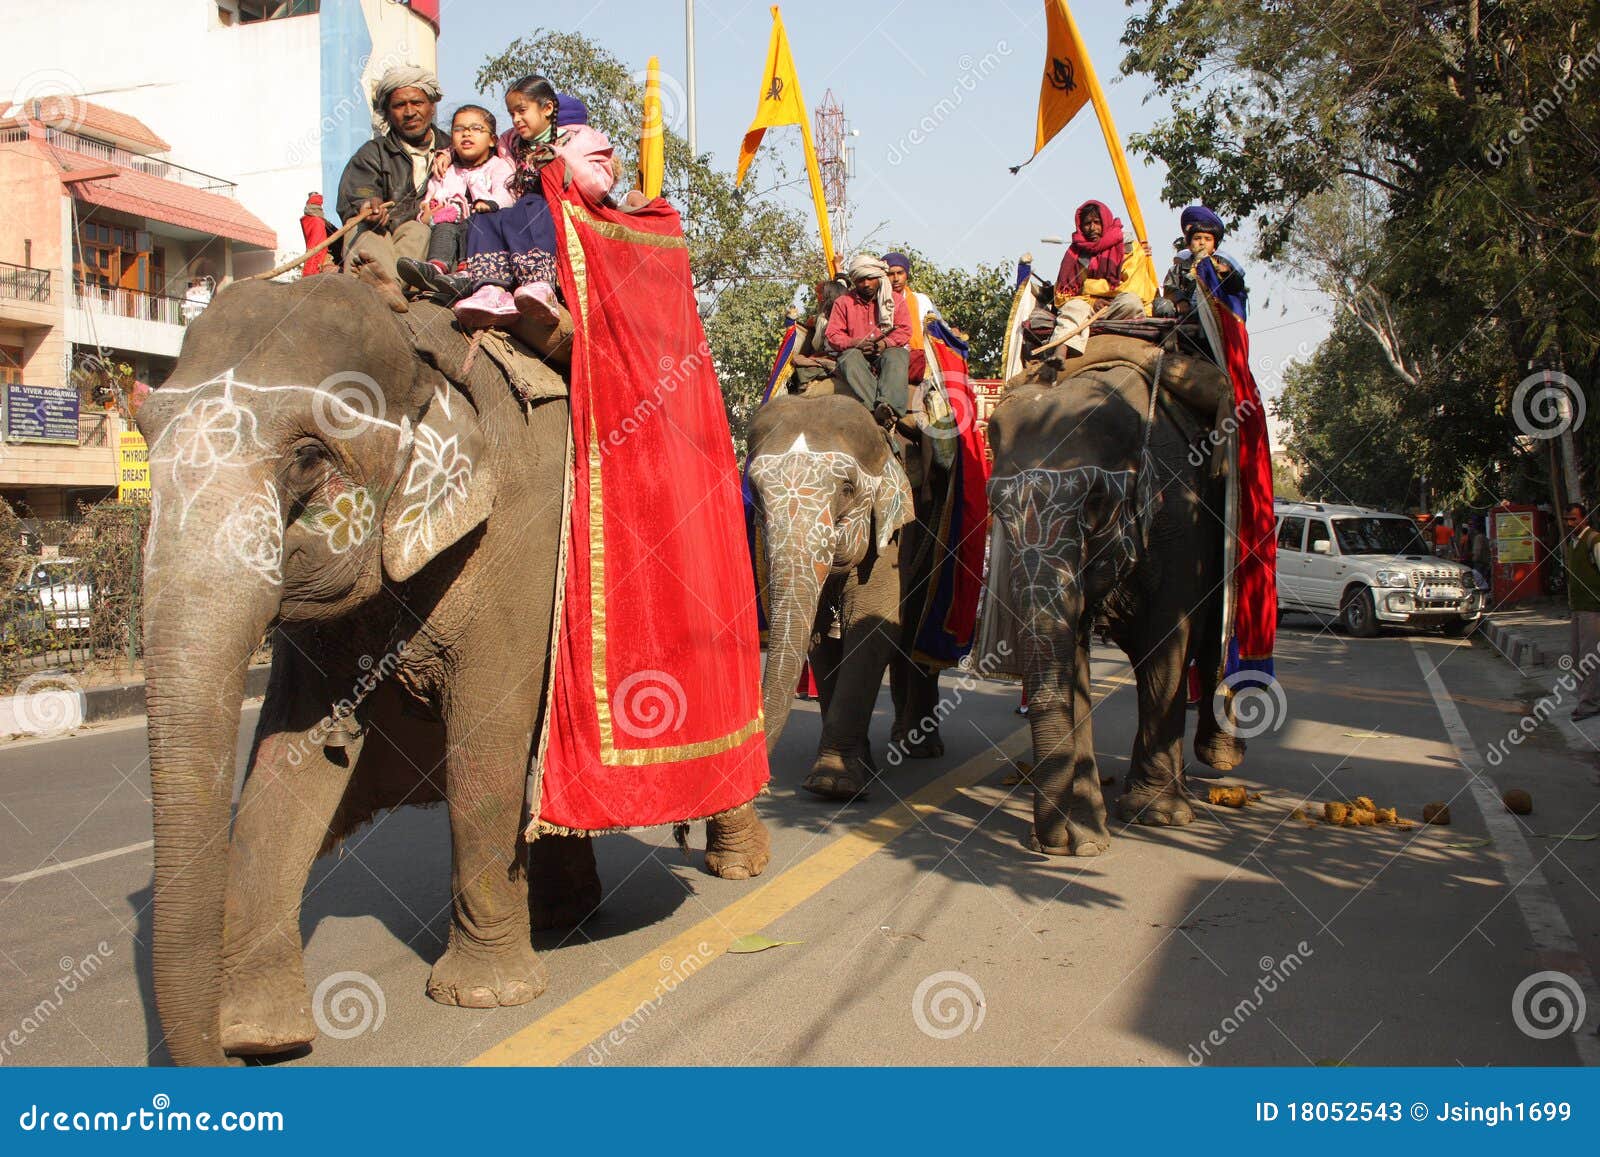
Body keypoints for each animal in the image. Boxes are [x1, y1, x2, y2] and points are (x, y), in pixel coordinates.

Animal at [136, 273, 769, 1065]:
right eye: (143, 433)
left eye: (307, 459)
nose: (221, 1058)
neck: (418, 345)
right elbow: (286, 765)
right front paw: (263, 1034)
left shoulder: (518, 540)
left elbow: (487, 735)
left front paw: (486, 997)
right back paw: (561, 915)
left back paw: (738, 869)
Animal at [746, 392, 959, 799]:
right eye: (758, 496)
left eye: (846, 489)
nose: (762, 787)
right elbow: (819, 641)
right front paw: (860, 769)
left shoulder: (893, 533)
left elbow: (872, 625)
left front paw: (834, 785)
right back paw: (902, 737)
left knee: (915, 629)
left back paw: (922, 747)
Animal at [984, 334, 1247, 856]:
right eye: (997, 510)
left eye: (1095, 505)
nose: (1048, 842)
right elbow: (1071, 650)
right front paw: (1081, 841)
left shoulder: (1182, 518)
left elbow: (1167, 644)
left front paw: (1156, 816)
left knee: (1207, 650)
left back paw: (1216, 760)